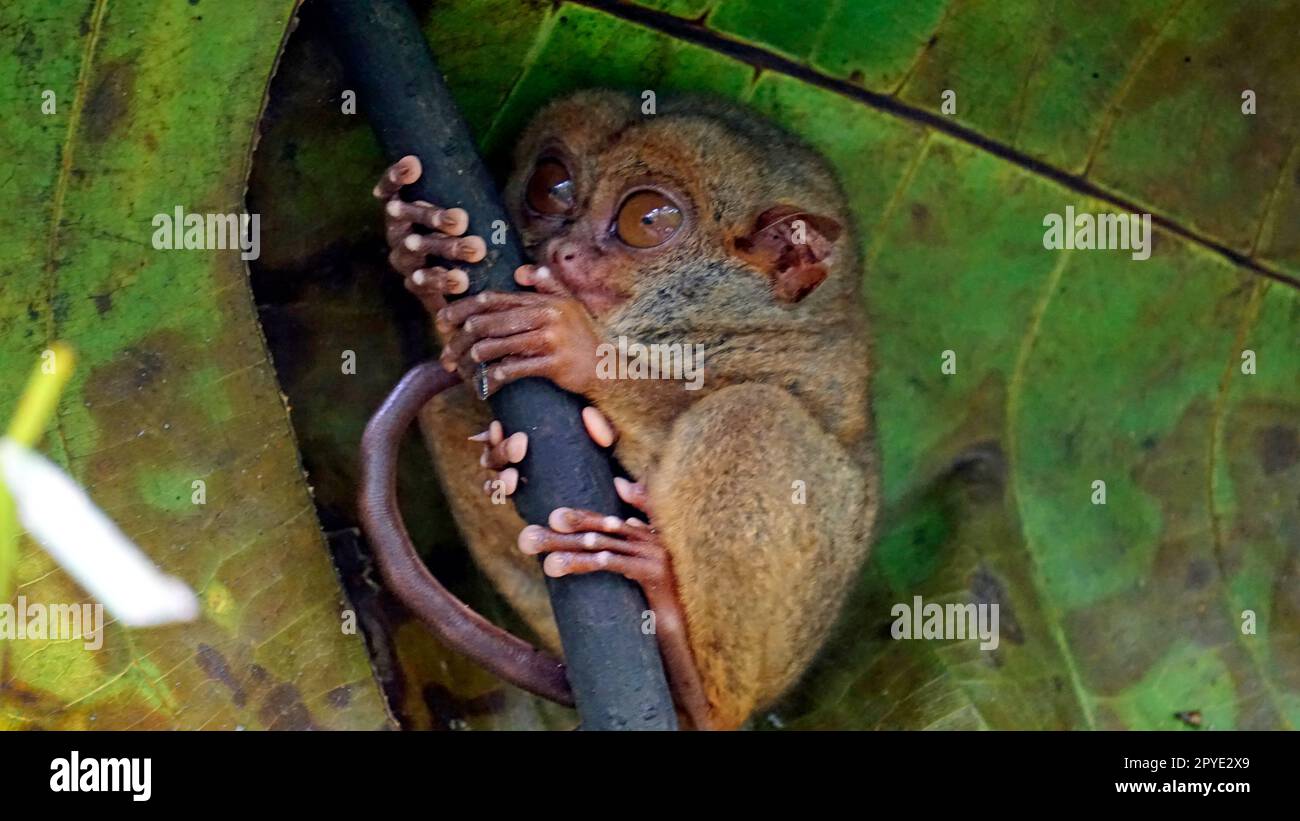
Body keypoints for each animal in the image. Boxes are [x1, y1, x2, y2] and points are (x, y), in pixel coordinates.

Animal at [368, 90, 877, 730]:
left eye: (647, 220)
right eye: (551, 187)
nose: (560, 249)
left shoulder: (804, 363)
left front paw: (576, 349)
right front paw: (421, 250)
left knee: (749, 414)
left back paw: (693, 672)